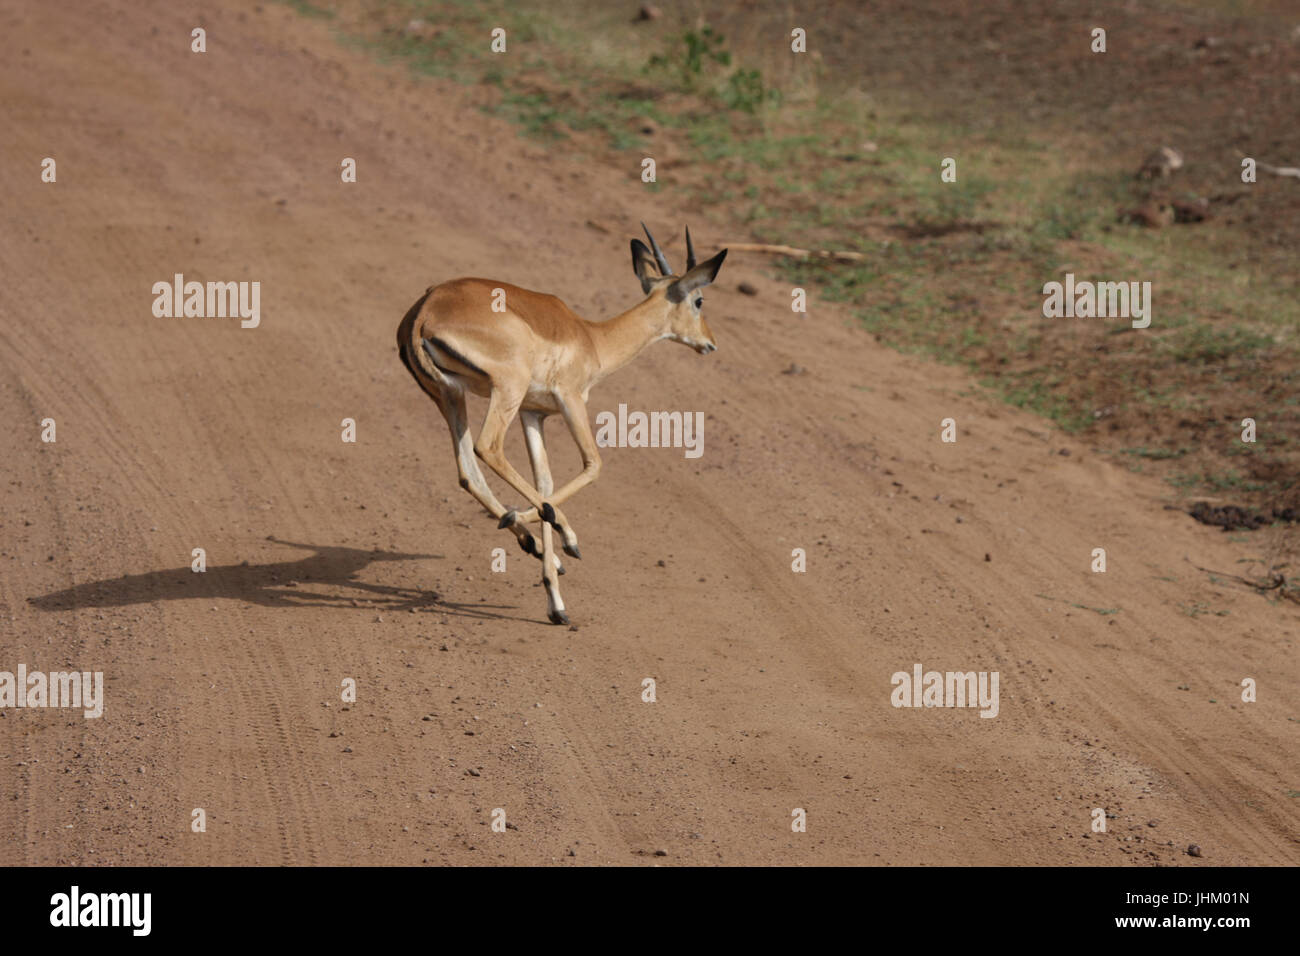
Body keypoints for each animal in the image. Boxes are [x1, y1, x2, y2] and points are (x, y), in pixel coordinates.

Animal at [397, 224, 728, 625]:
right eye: (699, 301)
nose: (709, 342)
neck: (592, 338)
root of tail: (424, 313)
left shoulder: (533, 413)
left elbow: (545, 482)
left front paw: (556, 602)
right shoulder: (571, 401)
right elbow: (593, 465)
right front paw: (564, 541)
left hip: (449, 396)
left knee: (468, 473)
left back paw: (536, 545)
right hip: (506, 387)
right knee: (487, 448)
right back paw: (547, 534)